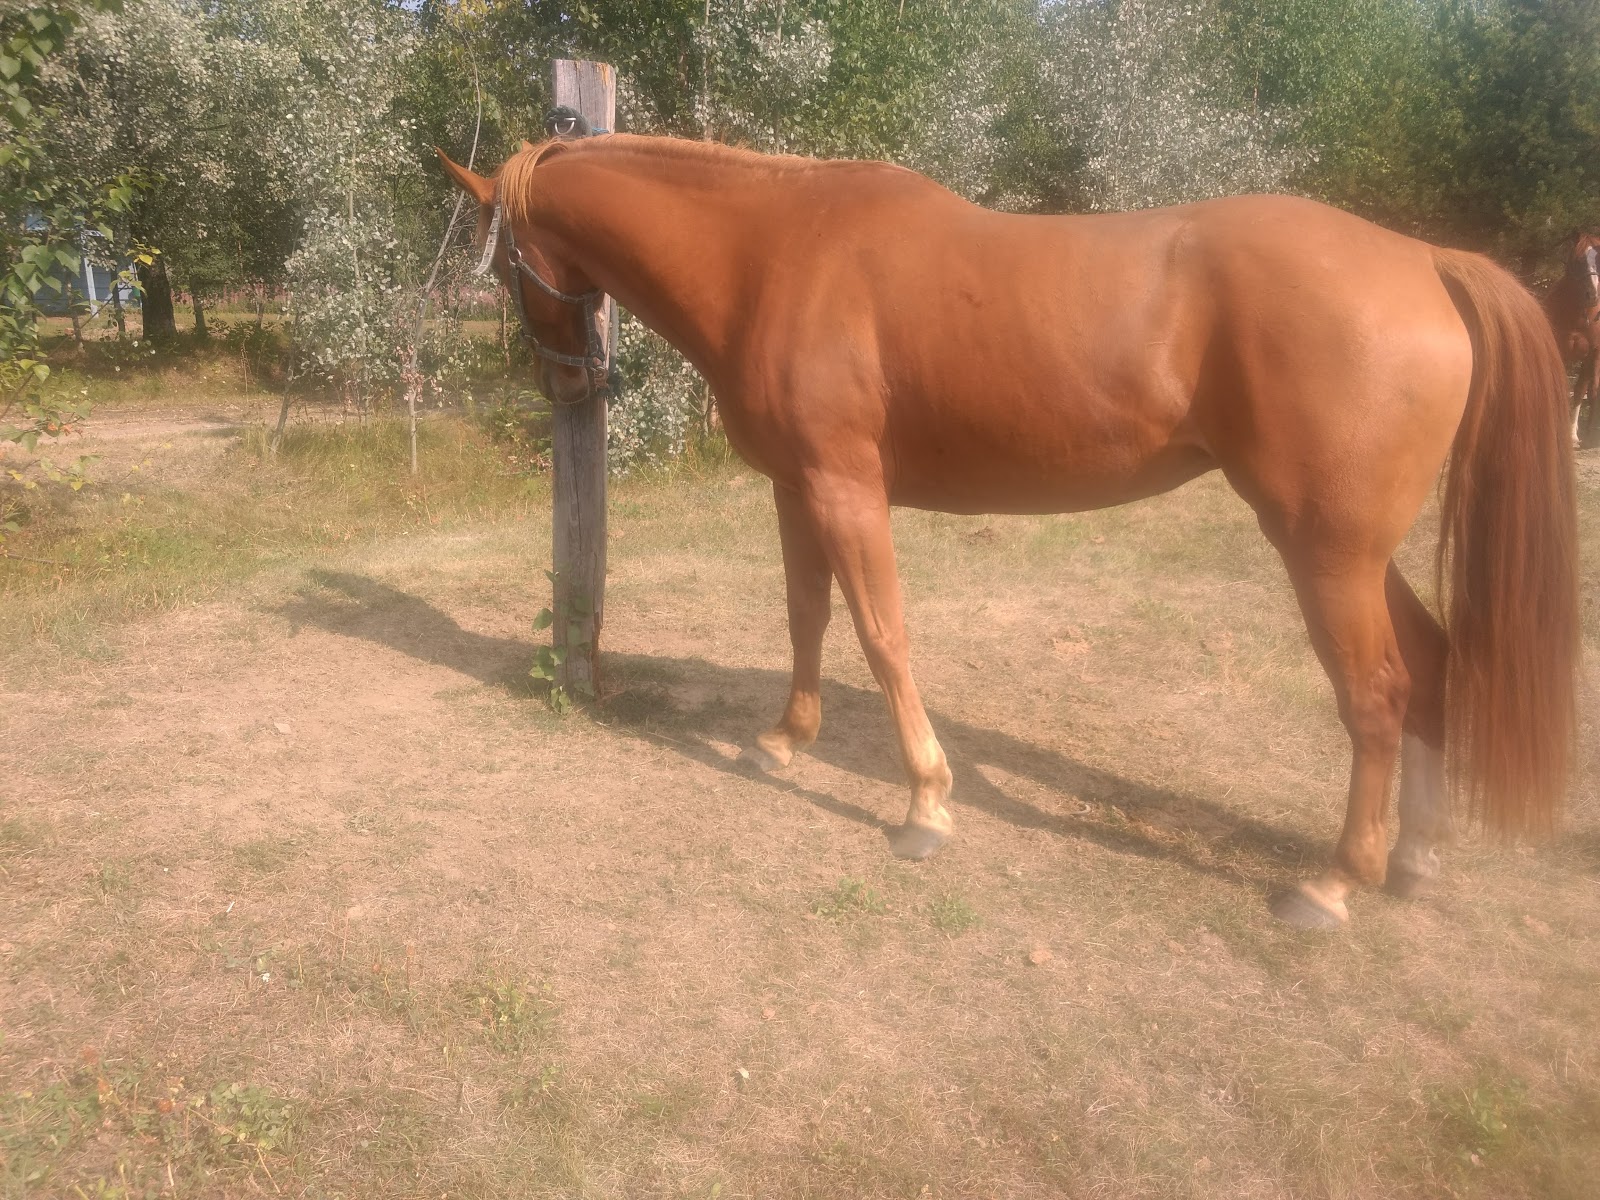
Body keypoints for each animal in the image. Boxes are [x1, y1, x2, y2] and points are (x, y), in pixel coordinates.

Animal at [436, 134, 1578, 930]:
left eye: (498, 269)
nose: (568, 386)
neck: (773, 253)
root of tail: (1426, 262)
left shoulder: (846, 489)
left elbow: (882, 636)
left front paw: (924, 807)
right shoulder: (797, 490)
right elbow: (807, 617)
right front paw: (785, 740)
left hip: (1324, 552)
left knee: (1377, 695)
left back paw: (1335, 882)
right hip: (1356, 550)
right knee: (1431, 664)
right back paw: (1414, 855)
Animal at [1542, 231, 1600, 448]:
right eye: (1578, 260)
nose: (1593, 295)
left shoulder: (1594, 353)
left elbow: (1588, 391)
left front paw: (1586, 437)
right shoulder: (1560, 349)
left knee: (1582, 390)